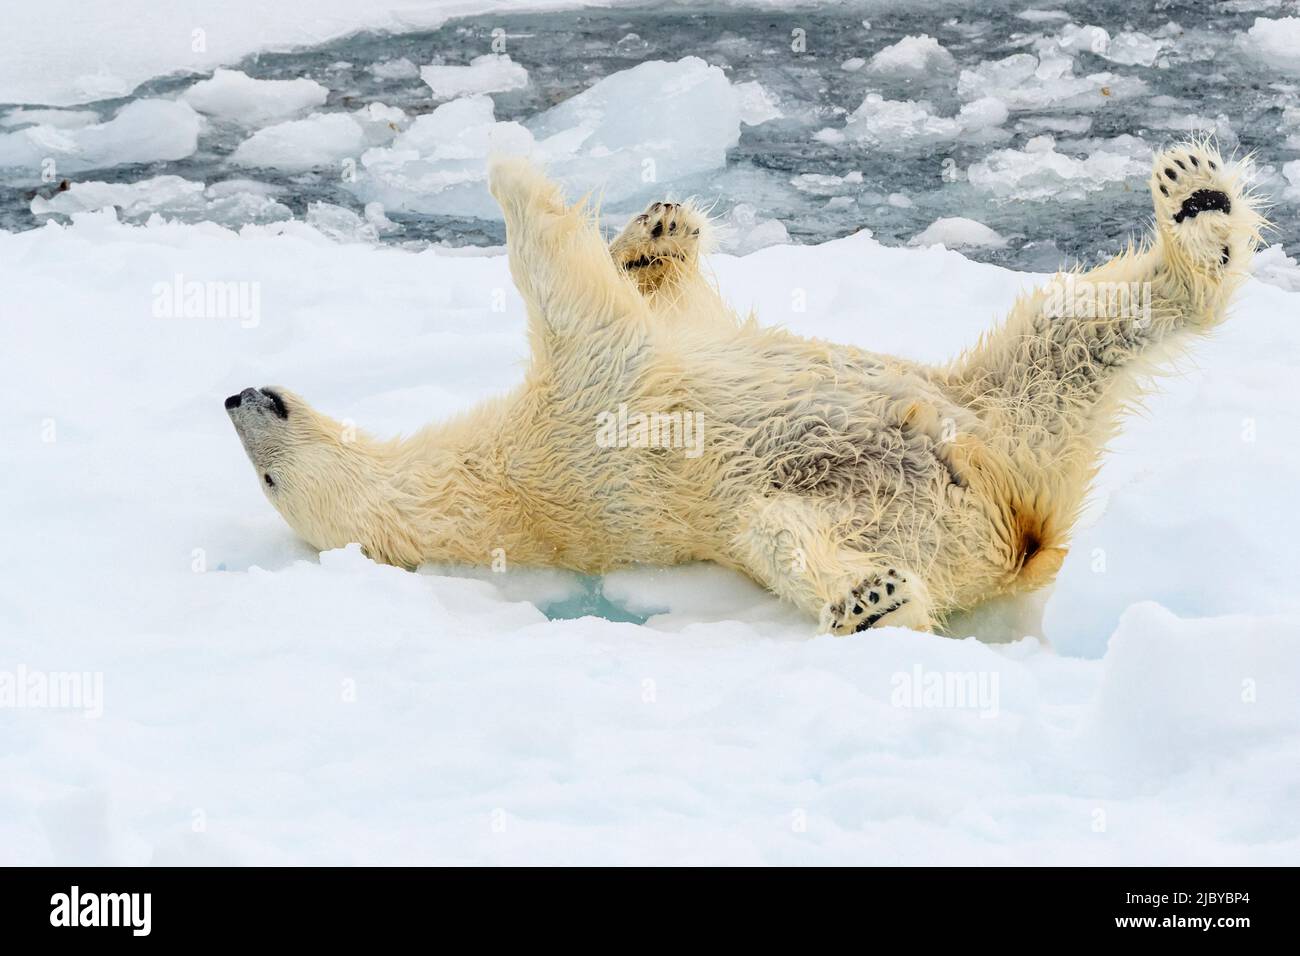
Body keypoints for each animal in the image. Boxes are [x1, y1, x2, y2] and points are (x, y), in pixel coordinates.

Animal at [226, 139, 1262, 634]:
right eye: (267, 483)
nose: (237, 400)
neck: (497, 480)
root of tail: (1022, 527)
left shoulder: (615, 379)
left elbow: (665, 303)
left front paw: (656, 231)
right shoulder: (585, 401)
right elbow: (568, 288)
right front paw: (510, 166)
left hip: (985, 409)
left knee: (1072, 327)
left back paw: (1197, 201)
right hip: (880, 502)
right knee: (796, 534)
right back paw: (870, 600)